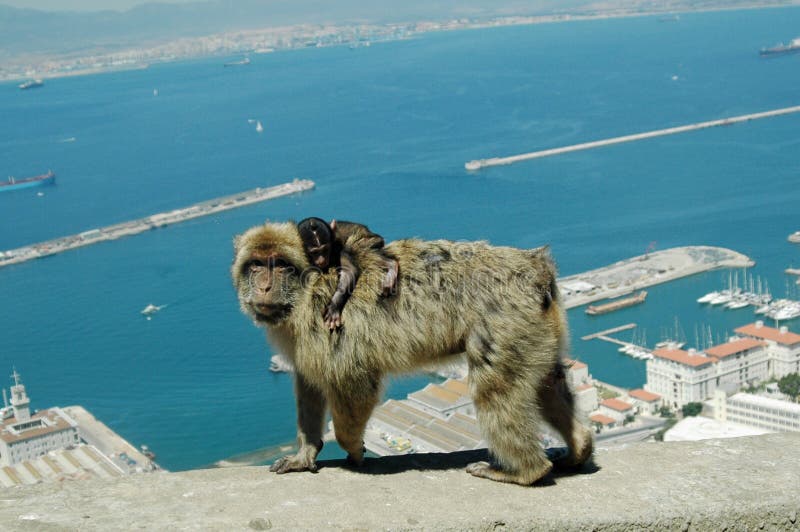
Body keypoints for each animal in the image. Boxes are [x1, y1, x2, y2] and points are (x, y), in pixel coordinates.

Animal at [232, 221, 594, 486]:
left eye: (280, 265)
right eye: (256, 265)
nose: (263, 286)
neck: (307, 289)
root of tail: (536, 268)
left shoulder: (325, 322)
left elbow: (353, 385)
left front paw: (353, 448)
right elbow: (309, 384)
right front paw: (306, 452)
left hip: (506, 323)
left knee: (495, 391)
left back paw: (524, 471)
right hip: (537, 330)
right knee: (547, 382)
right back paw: (579, 447)